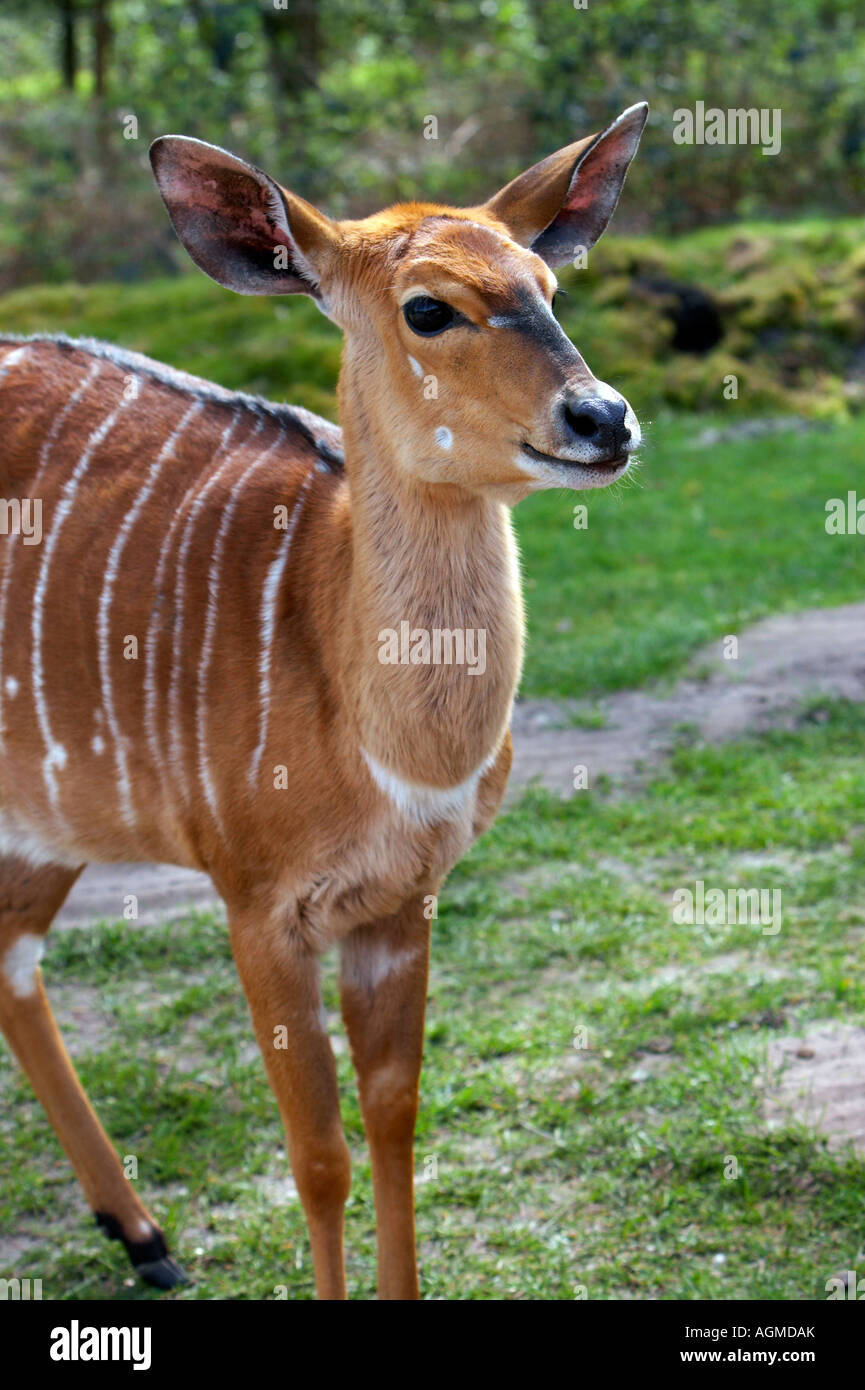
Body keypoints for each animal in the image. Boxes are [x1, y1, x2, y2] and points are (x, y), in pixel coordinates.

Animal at [0, 101, 647, 1299]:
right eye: (428, 308)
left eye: (547, 281)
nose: (603, 418)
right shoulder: (257, 902)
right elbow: (317, 1157)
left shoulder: (401, 902)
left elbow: (394, 1122)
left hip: (46, 817)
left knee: (10, 955)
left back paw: (145, 1237)